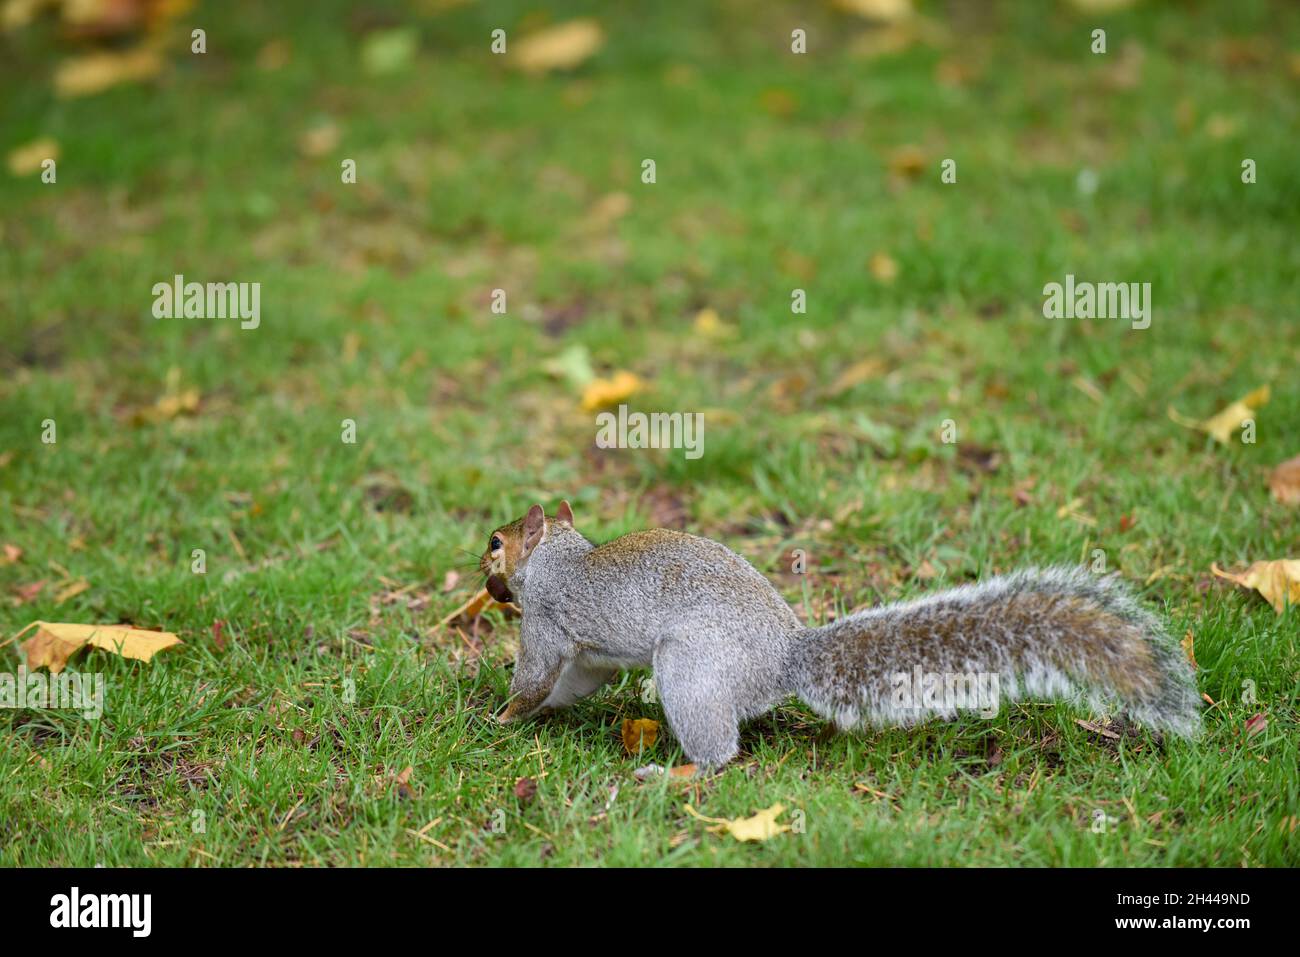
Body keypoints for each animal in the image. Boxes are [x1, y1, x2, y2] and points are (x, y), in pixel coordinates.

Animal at [478, 502, 1201, 769]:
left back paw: (672, 773)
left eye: (495, 543)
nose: (482, 575)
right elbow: (575, 680)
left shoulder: (545, 621)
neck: (560, 558)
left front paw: (499, 716)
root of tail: (783, 660)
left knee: (720, 753)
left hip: (688, 666)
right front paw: (533, 714)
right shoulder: (586, 653)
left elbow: (535, 676)